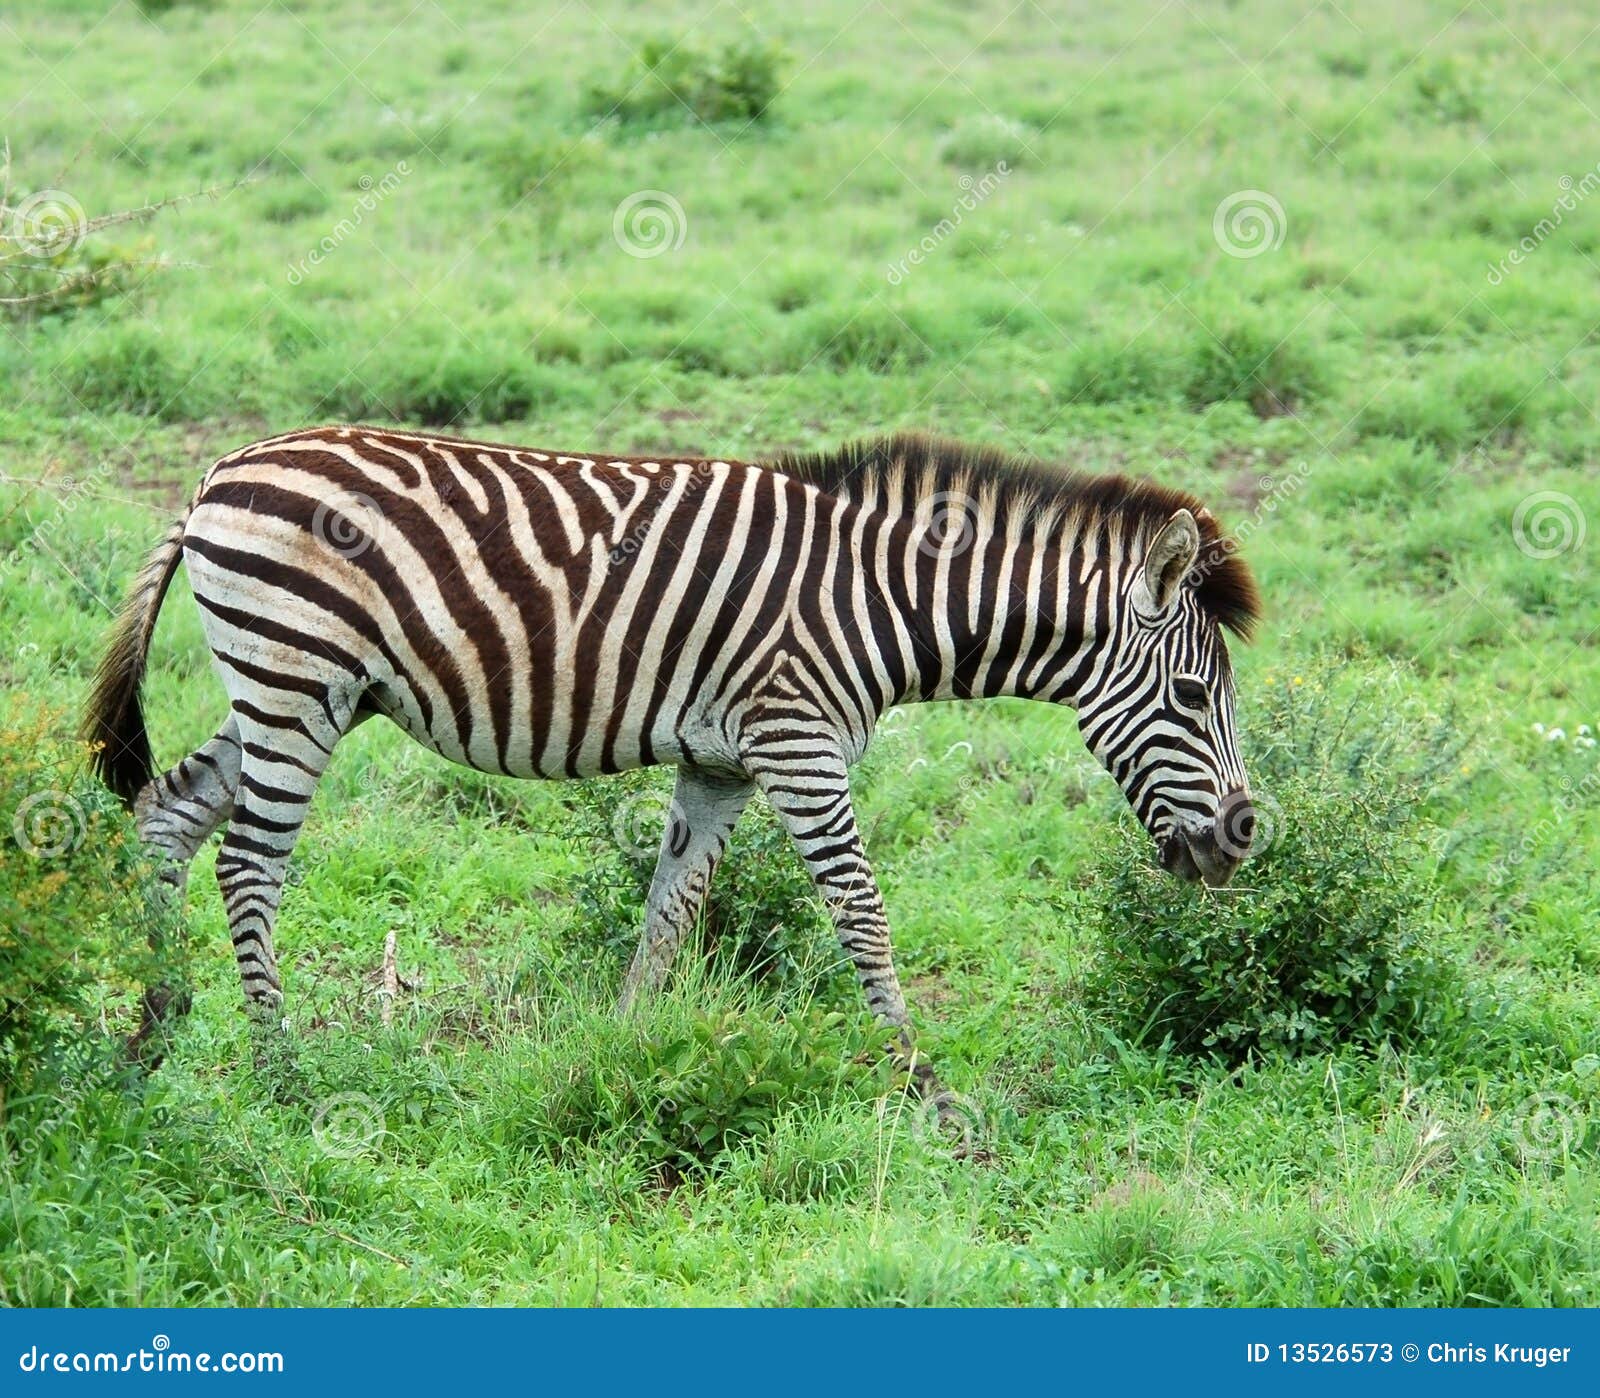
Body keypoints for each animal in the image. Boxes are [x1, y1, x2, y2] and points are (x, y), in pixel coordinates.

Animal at [86, 427, 1261, 1095]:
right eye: (1193, 697)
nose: (1247, 834)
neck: (880, 600)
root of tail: (218, 472)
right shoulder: (796, 743)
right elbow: (862, 915)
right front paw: (923, 1086)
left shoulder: (721, 766)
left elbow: (669, 914)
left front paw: (622, 1055)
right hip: (296, 681)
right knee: (248, 863)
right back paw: (278, 1071)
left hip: (299, 691)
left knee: (167, 813)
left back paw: (155, 1030)